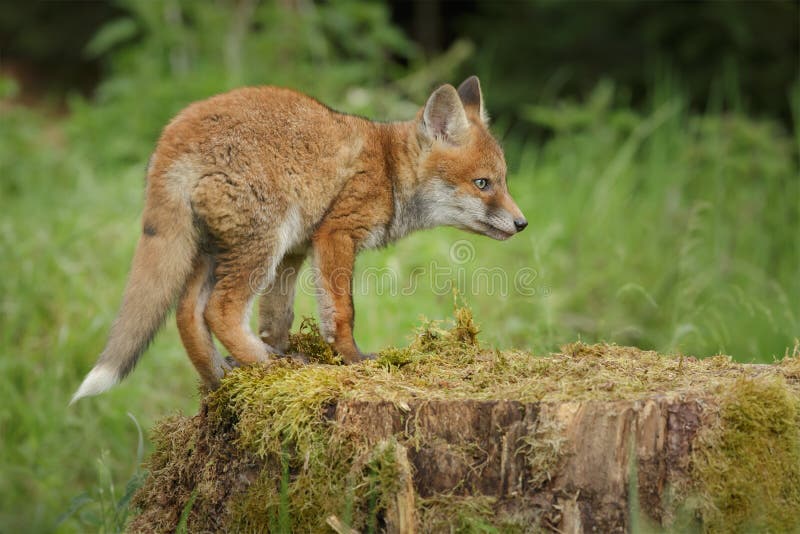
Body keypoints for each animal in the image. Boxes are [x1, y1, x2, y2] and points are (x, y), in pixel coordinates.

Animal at [70, 76, 527, 404]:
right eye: (483, 184)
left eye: (503, 182)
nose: (522, 223)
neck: (387, 171)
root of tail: (172, 134)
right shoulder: (336, 234)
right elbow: (341, 312)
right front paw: (352, 359)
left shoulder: (294, 253)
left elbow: (277, 318)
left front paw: (284, 350)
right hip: (260, 243)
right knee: (220, 310)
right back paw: (267, 367)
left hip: (222, 250)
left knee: (187, 313)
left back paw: (221, 377)